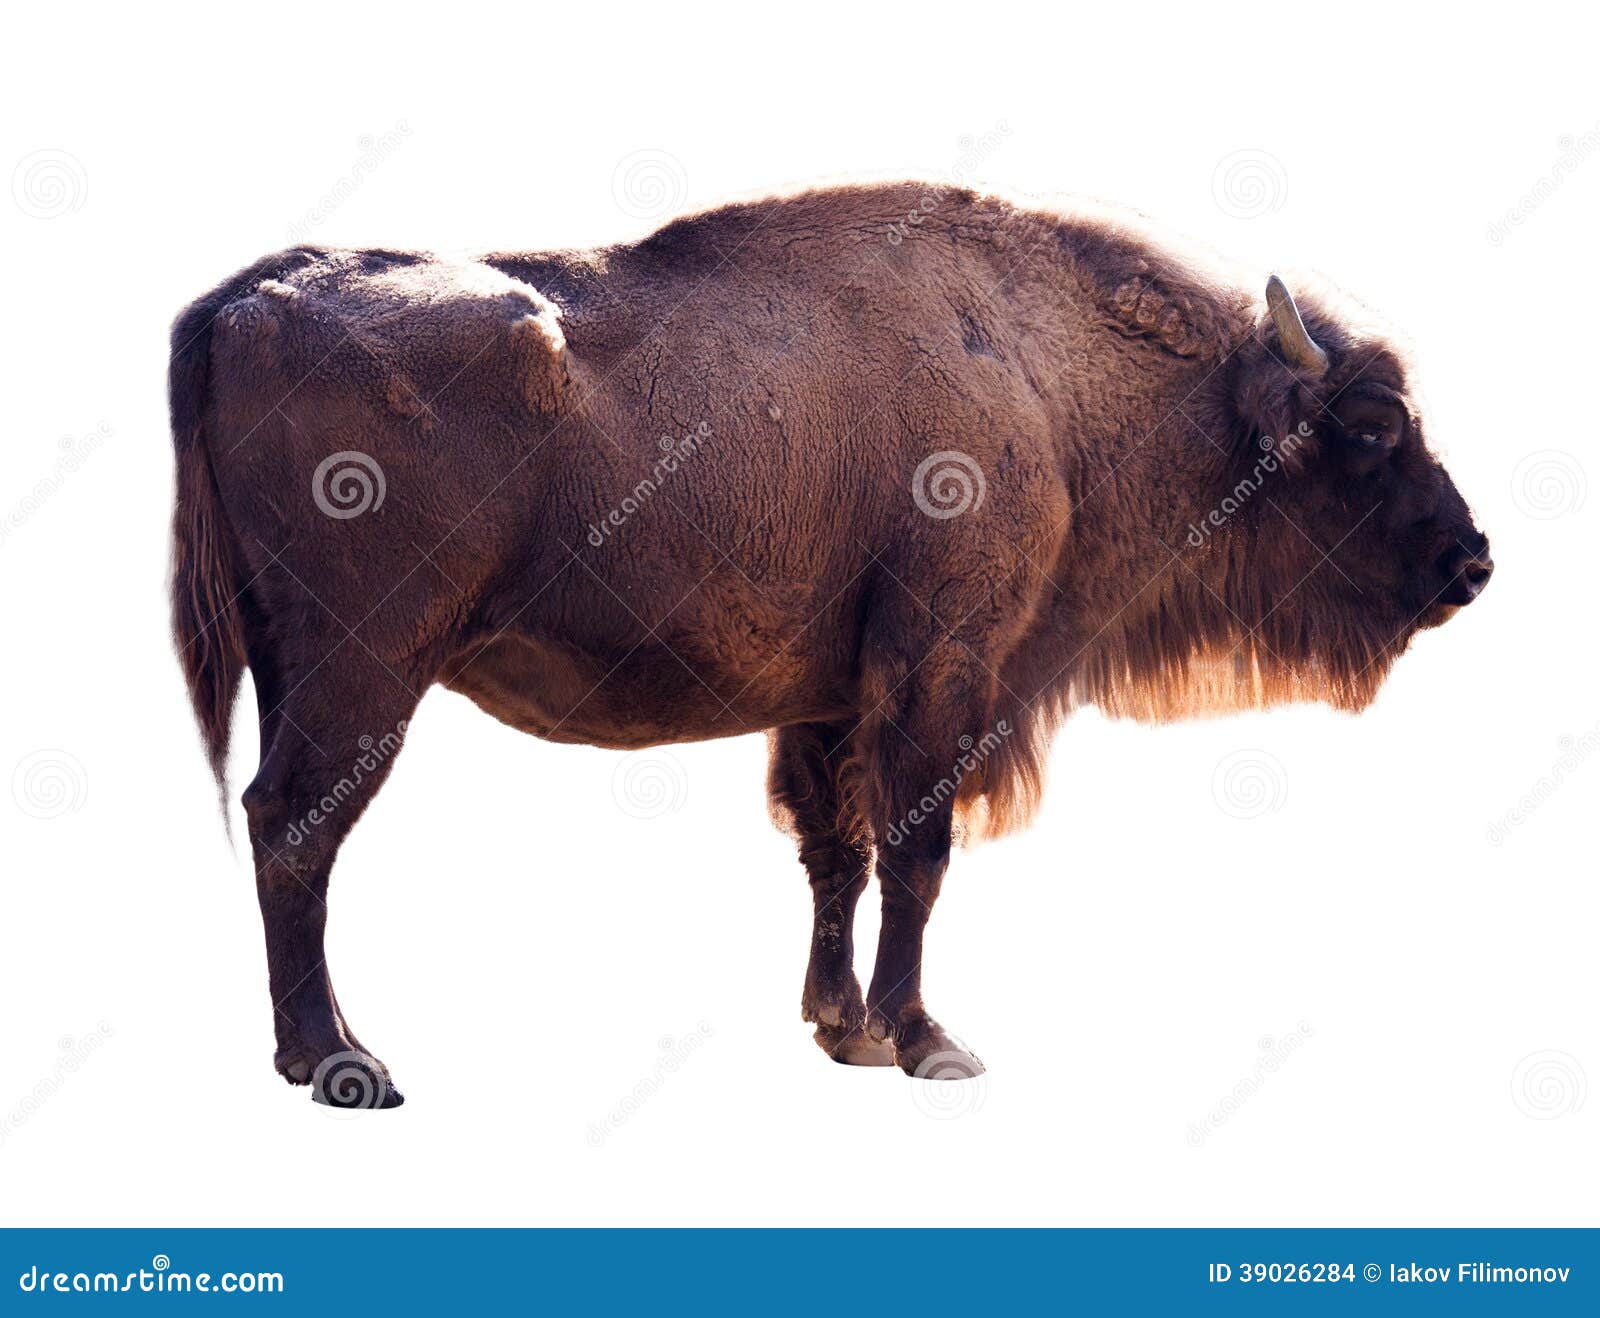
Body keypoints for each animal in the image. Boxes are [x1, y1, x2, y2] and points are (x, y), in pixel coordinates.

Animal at [169, 181, 1491, 1106]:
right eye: (1372, 425)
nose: (1471, 563)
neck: (1043, 377)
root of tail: (248, 295)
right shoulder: (944, 670)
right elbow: (916, 850)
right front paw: (929, 1042)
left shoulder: (828, 701)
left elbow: (834, 851)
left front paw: (842, 1028)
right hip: (365, 670)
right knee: (293, 823)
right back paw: (342, 1065)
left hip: (303, 666)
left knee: (286, 827)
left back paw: (321, 1053)